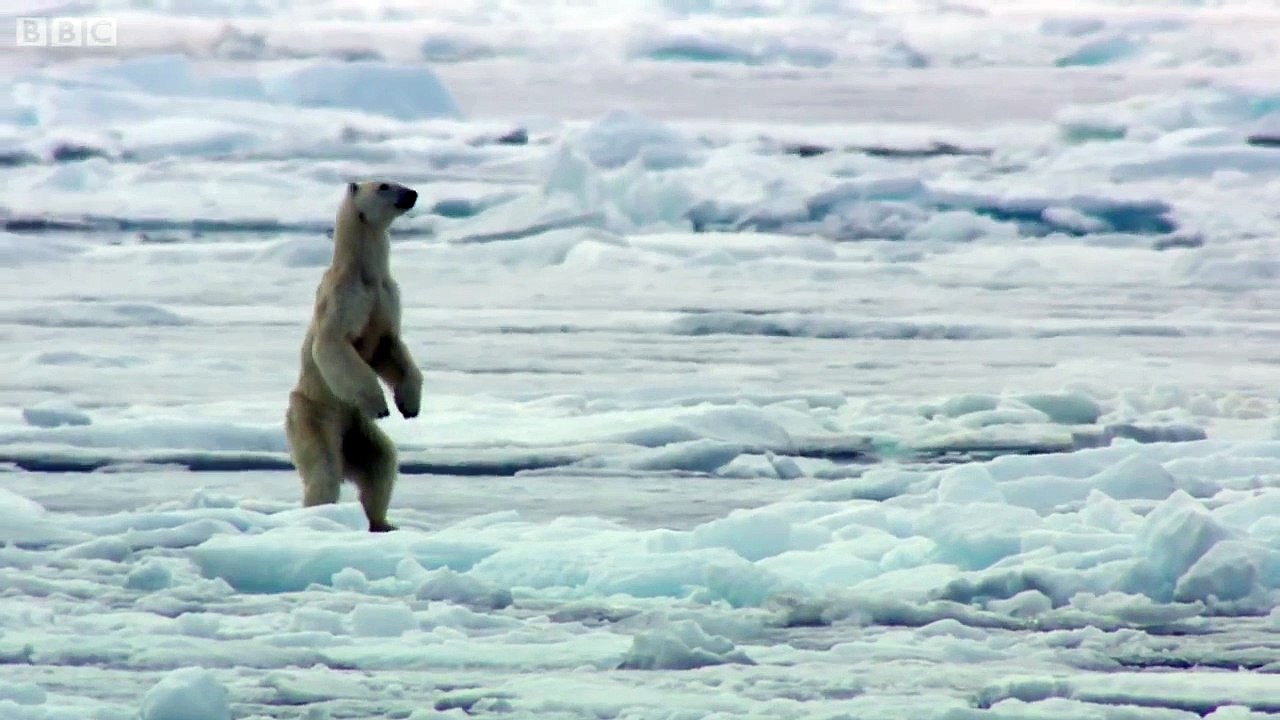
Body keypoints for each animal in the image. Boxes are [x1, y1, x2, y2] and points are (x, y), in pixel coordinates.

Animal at [284, 180, 422, 532]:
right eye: (384, 185)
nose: (412, 193)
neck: (365, 273)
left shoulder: (386, 296)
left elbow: (392, 349)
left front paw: (409, 405)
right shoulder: (343, 298)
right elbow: (332, 345)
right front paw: (379, 404)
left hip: (358, 433)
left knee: (381, 463)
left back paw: (382, 522)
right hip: (315, 415)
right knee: (324, 471)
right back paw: (317, 518)